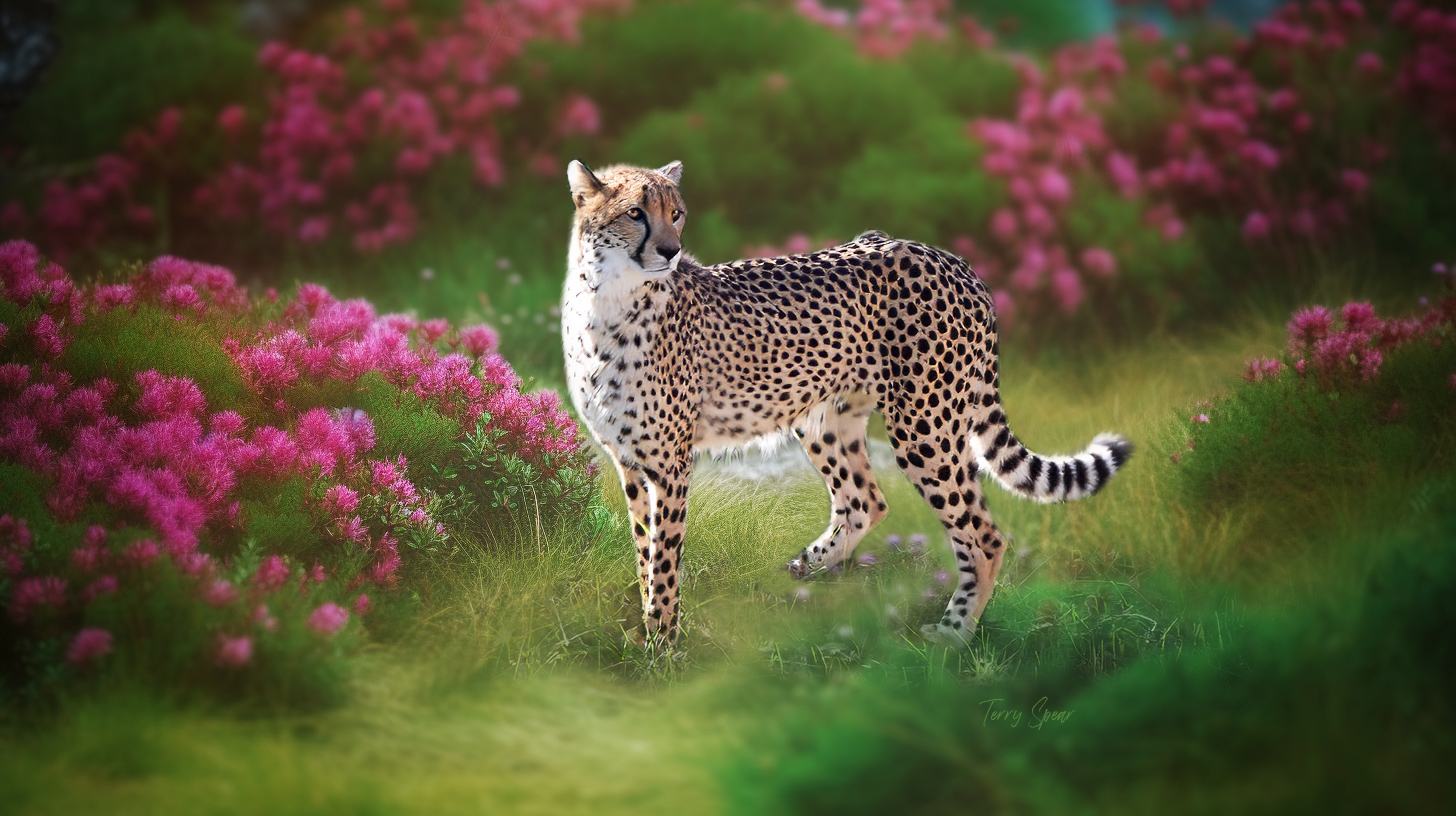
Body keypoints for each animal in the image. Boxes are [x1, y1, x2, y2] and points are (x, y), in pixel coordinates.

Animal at [560, 159, 1132, 647]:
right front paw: (647, 631)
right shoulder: (631, 463)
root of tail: (949, 258)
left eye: (675, 212)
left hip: (925, 427)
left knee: (984, 536)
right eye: (636, 213)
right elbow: (645, 551)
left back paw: (954, 632)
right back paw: (800, 571)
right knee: (865, 501)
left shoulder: (671, 464)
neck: (607, 301)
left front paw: (662, 646)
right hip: (824, 418)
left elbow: (664, 560)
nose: (671, 251)